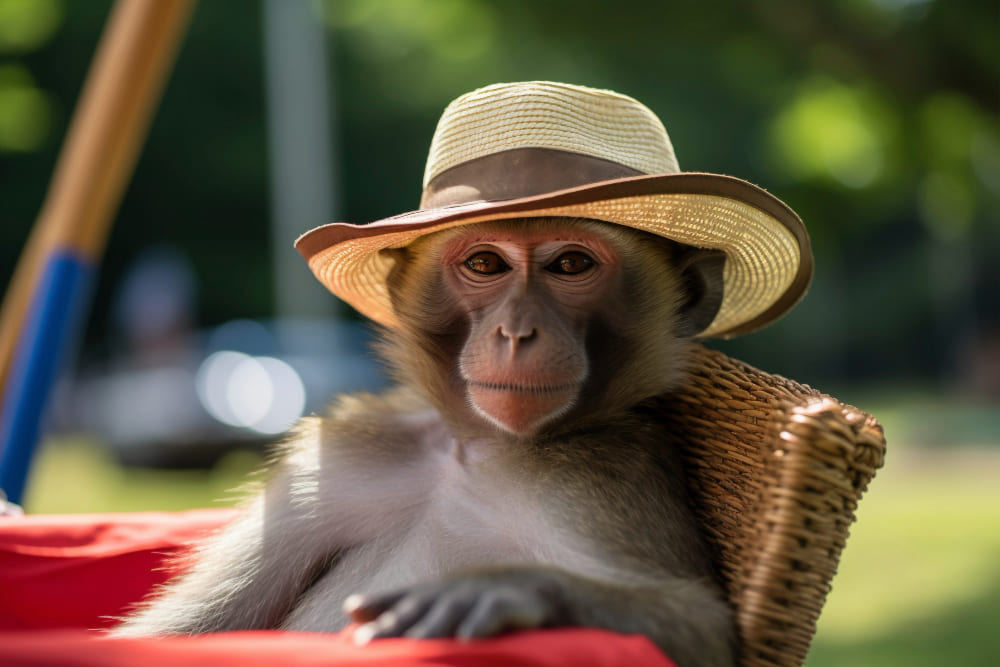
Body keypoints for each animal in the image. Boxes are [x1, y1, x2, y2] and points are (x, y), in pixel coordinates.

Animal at [112, 217, 737, 667]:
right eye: (485, 263)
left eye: (571, 264)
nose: (516, 332)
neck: (479, 449)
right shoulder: (342, 462)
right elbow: (179, 633)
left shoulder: (606, 474)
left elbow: (705, 625)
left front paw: (505, 590)